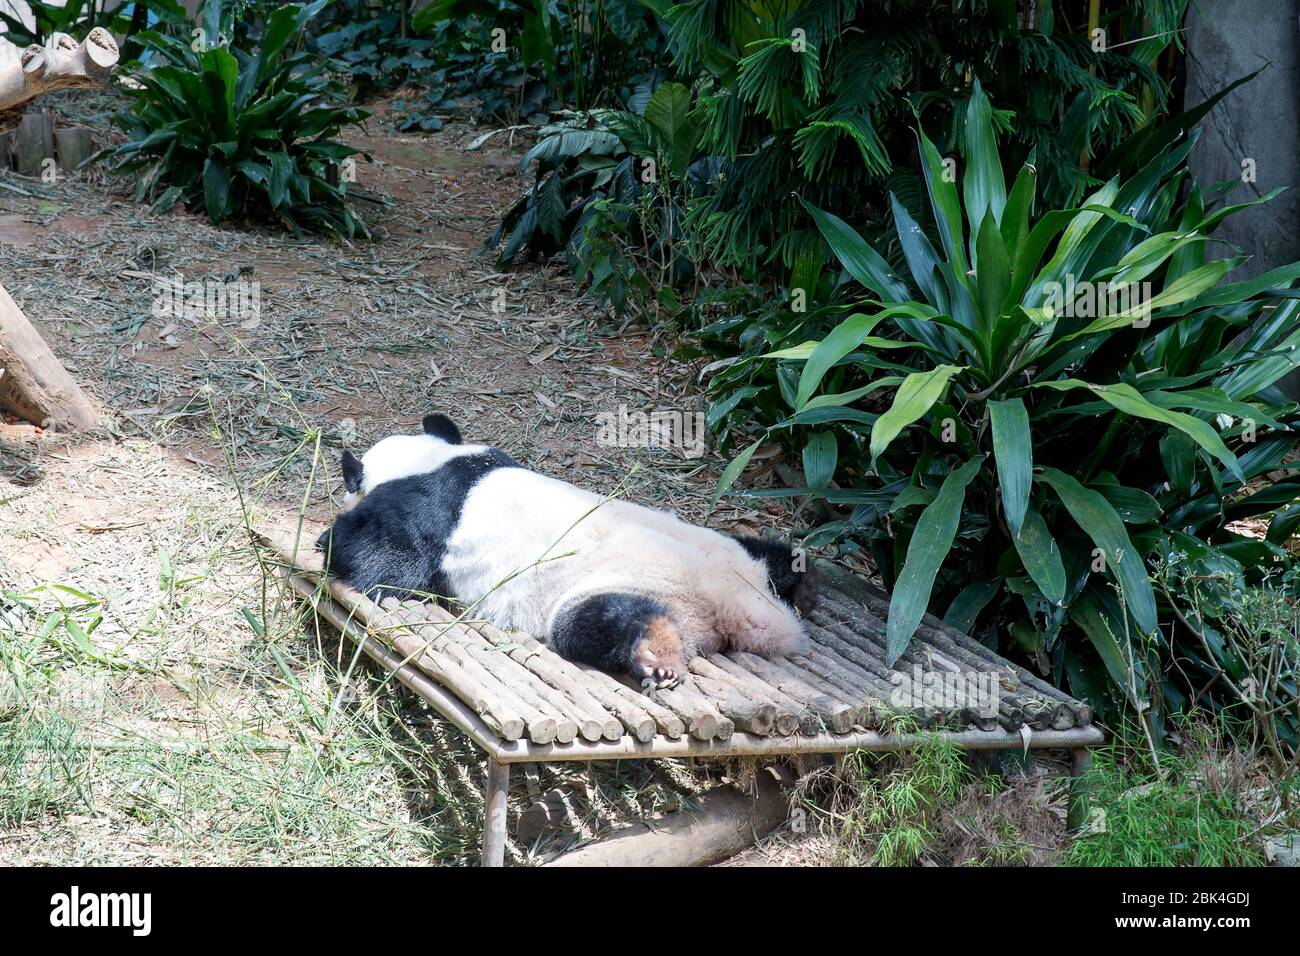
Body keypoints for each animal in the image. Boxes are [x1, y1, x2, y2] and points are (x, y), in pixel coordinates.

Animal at [317, 414, 817, 688]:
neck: (432, 460)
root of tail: (743, 604)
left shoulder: (425, 510)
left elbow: (381, 559)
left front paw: (329, 541)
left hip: (639, 580)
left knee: (595, 620)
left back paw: (657, 655)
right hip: (731, 549)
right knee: (777, 553)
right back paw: (803, 587)